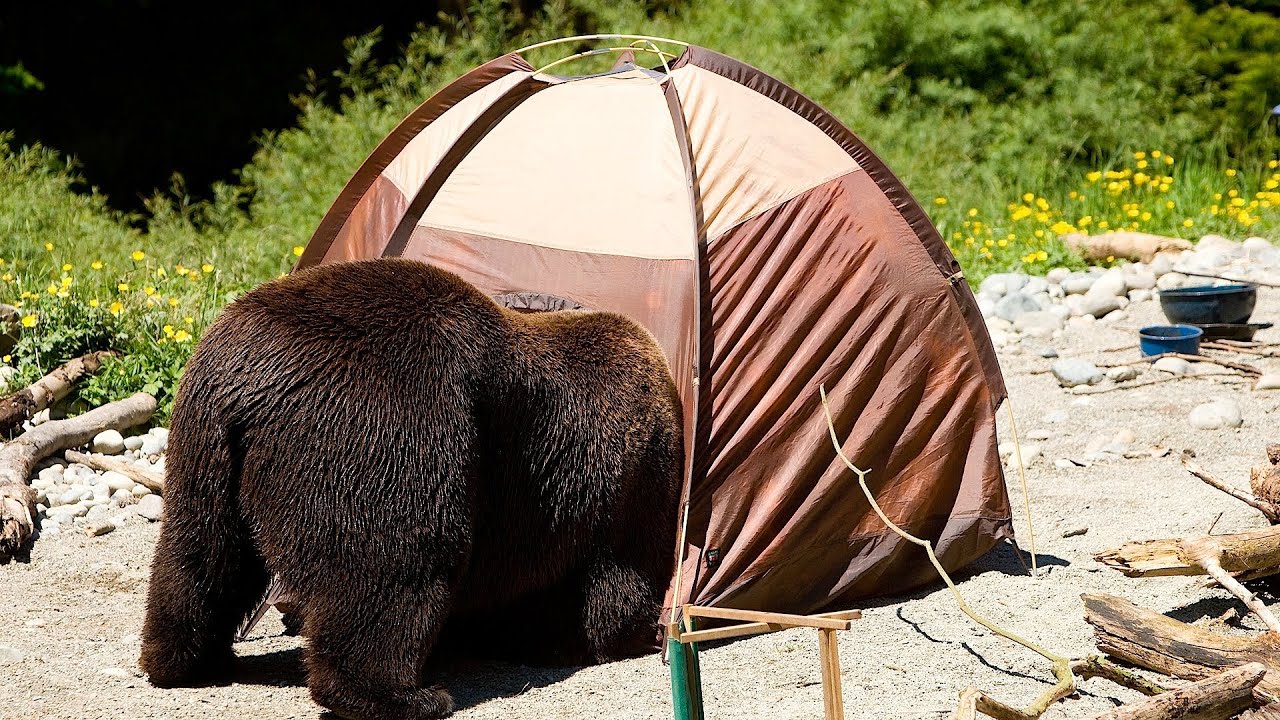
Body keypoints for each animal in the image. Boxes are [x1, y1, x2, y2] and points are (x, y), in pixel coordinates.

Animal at [139, 258, 683, 720]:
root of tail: (250, 381)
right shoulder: (619, 482)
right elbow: (616, 579)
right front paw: (613, 636)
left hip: (203, 449)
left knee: (199, 556)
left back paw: (186, 661)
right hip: (390, 427)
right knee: (395, 565)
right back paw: (402, 696)